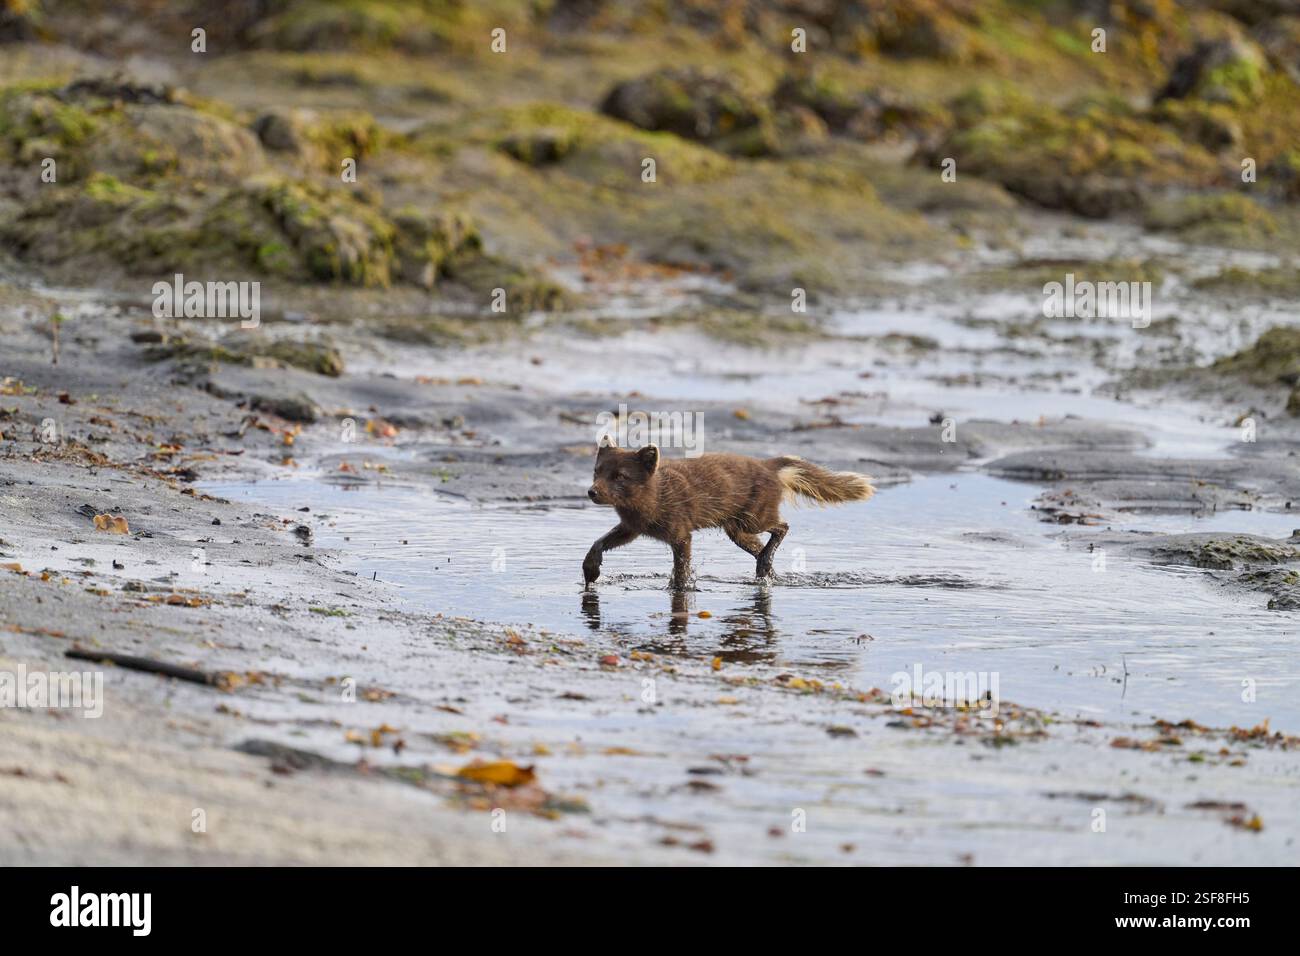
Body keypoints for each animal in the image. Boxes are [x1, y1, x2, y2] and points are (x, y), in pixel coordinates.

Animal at [583, 438, 875, 589]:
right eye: (597, 471)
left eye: (620, 476)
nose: (591, 492)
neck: (653, 499)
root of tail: (768, 464)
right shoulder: (632, 528)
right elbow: (599, 542)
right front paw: (590, 570)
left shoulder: (681, 533)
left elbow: (682, 567)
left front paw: (681, 588)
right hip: (737, 530)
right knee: (760, 548)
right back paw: (765, 571)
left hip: (753, 519)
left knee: (782, 526)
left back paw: (766, 565)